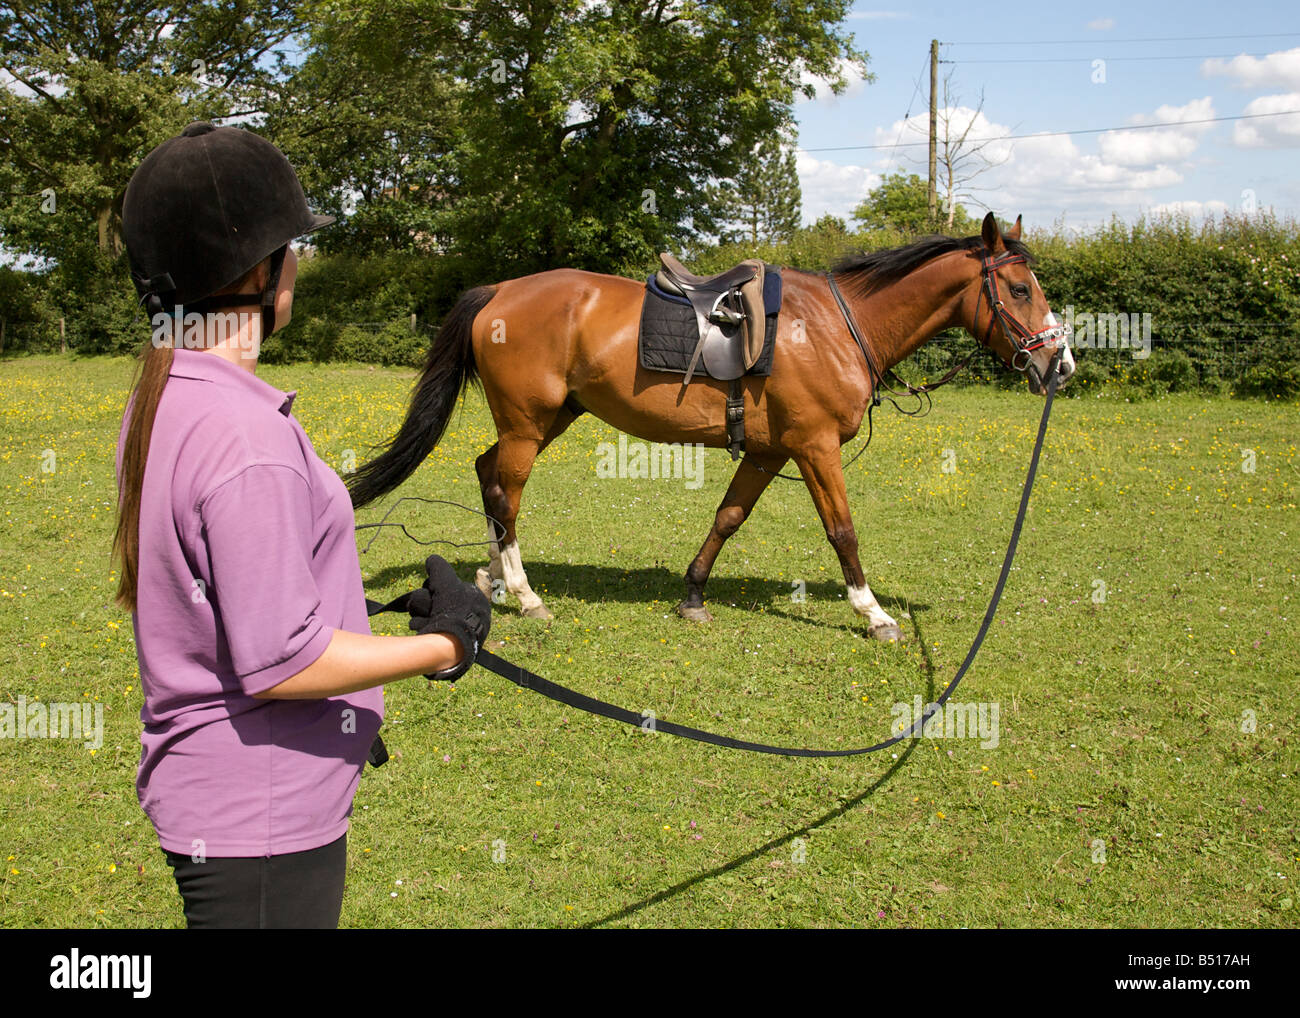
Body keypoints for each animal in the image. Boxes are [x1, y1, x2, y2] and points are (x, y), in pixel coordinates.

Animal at [348, 212, 1076, 642]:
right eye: (1017, 291)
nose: (1060, 364)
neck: (836, 326)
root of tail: (499, 292)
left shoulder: (769, 452)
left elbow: (728, 517)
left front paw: (693, 593)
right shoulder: (814, 448)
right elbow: (842, 530)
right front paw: (873, 613)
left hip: (550, 417)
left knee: (486, 473)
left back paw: (494, 579)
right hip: (530, 424)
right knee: (506, 491)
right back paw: (524, 595)